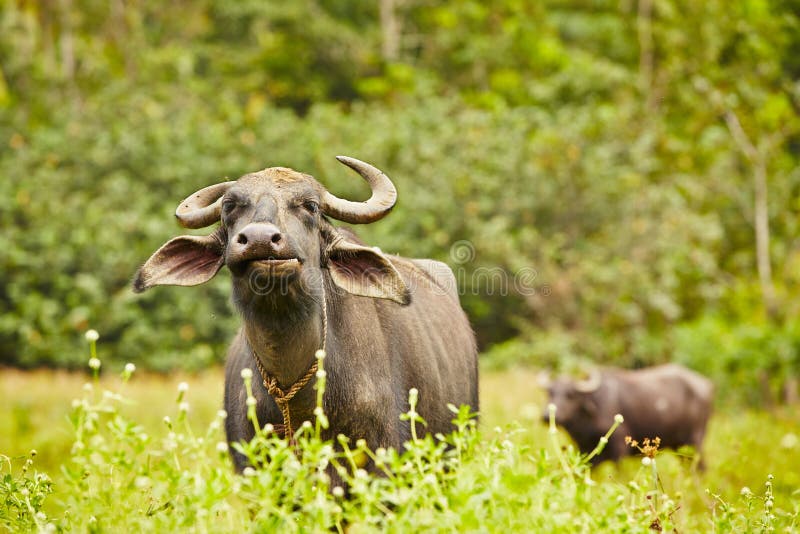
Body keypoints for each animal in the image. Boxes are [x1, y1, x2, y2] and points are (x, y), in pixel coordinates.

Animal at [542, 364, 713, 467]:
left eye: (570, 395)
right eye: (550, 392)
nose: (545, 416)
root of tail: (707, 385)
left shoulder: (619, 449)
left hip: (695, 441)